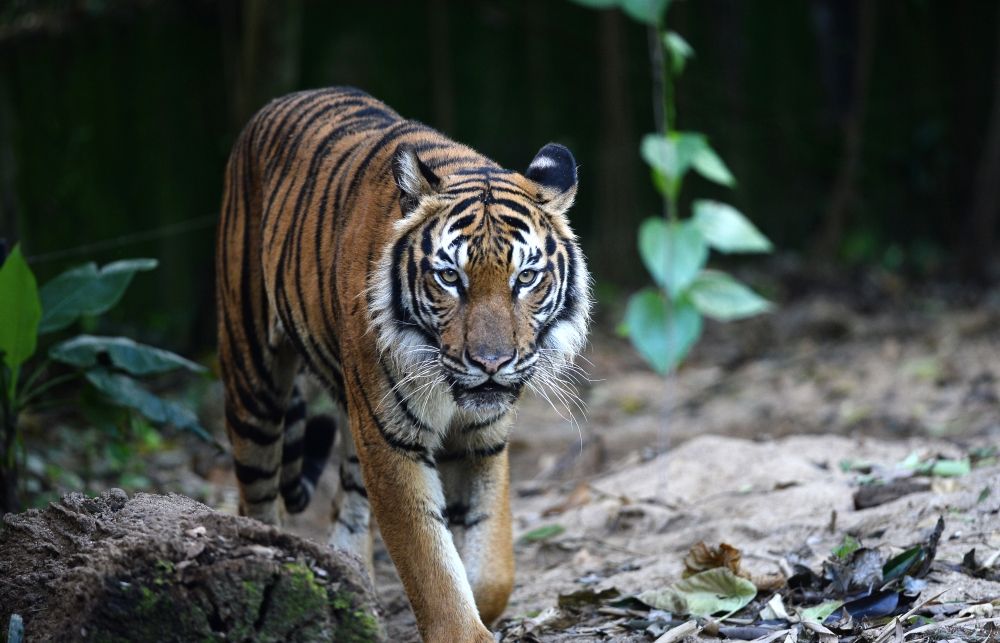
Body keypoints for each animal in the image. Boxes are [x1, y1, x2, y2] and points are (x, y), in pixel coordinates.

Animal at [216, 86, 591, 642]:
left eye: (525, 277)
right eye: (450, 277)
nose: (492, 363)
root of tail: (282, 100)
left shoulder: (484, 438)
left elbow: (492, 566)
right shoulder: (391, 441)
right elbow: (429, 562)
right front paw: (461, 627)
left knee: (346, 503)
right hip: (254, 381)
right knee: (256, 501)